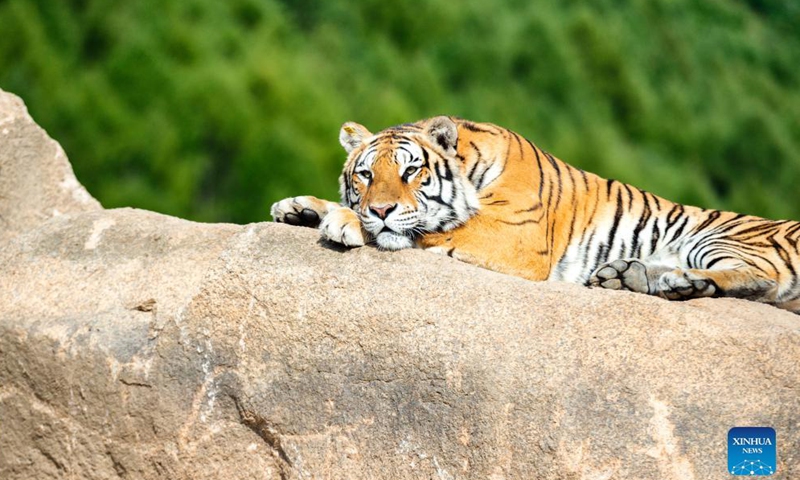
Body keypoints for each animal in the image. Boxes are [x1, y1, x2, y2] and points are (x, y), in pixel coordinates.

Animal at [271, 116, 800, 314]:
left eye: (411, 171)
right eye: (365, 174)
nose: (380, 208)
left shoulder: (515, 233)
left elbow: (427, 230)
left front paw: (348, 222)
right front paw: (299, 207)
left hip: (721, 238)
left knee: (759, 279)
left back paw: (679, 282)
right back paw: (626, 276)